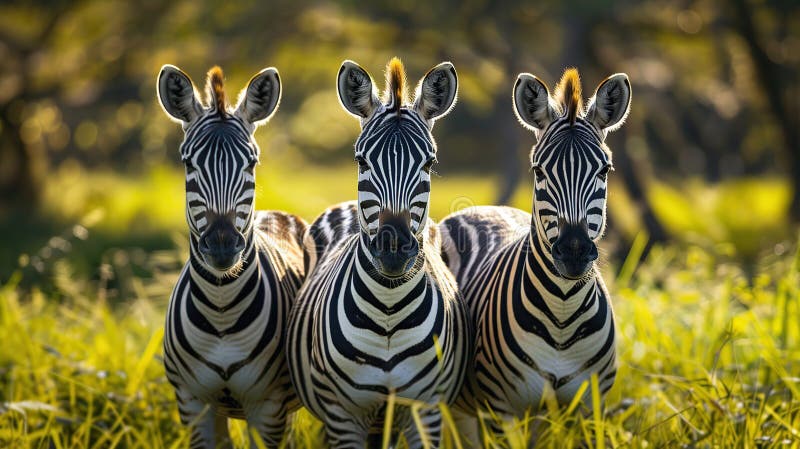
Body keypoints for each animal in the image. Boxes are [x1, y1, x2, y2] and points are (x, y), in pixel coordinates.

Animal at [157, 64, 307, 448]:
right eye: (188, 163)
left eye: (251, 163)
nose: (223, 244)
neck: (221, 307)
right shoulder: (193, 404)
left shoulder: (268, 408)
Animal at [285, 58, 471, 449]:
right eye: (361, 161)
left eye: (428, 163)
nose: (393, 248)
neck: (388, 307)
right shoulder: (344, 415)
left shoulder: (423, 411)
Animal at [440, 68, 631, 443]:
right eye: (539, 172)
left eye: (604, 171)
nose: (574, 251)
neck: (562, 313)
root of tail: (484, 207)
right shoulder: (500, 409)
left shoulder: (590, 407)